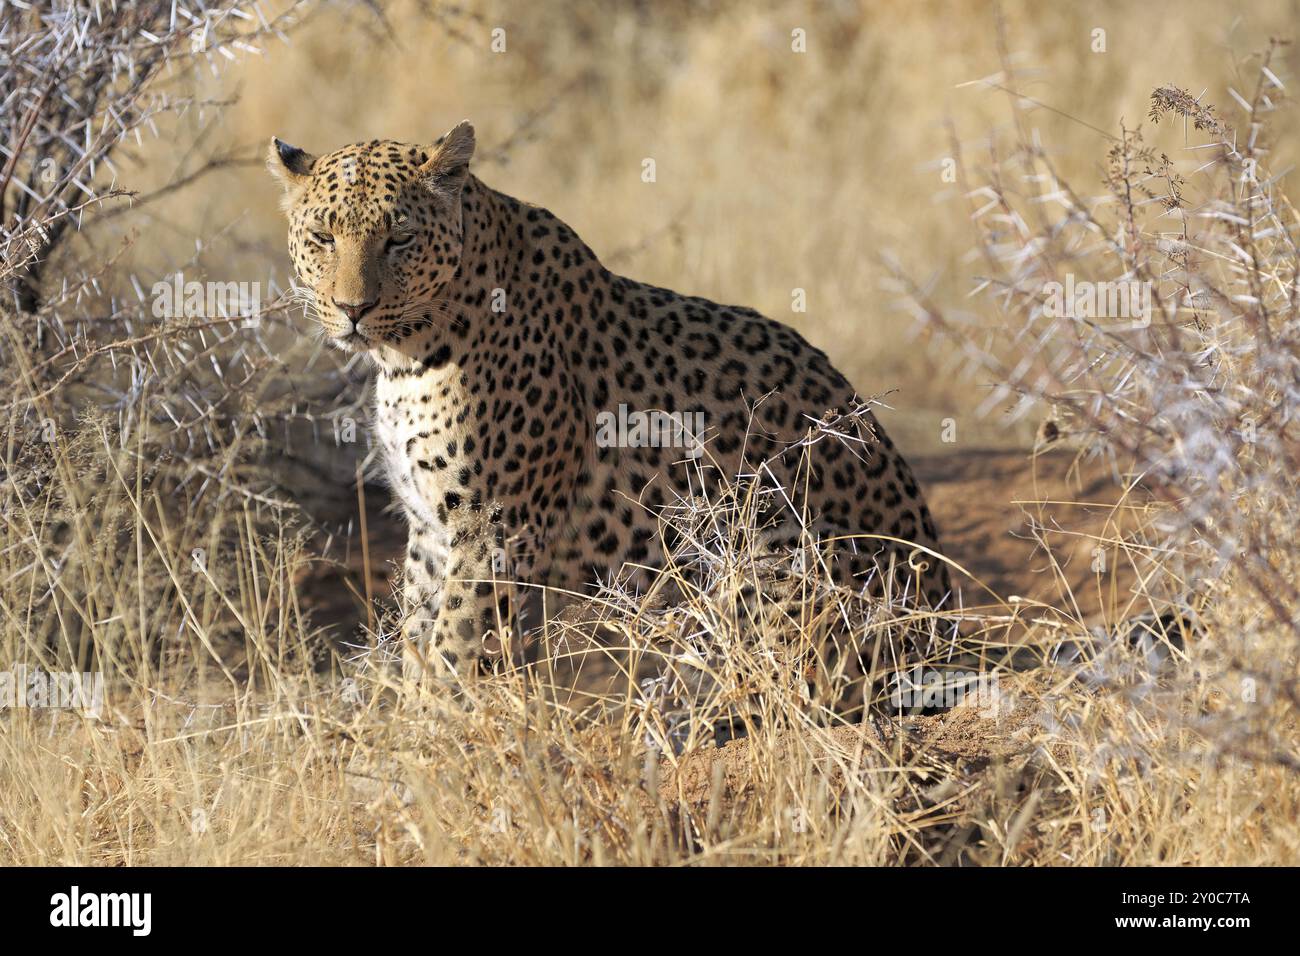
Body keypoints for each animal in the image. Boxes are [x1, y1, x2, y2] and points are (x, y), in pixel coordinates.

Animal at [268, 120, 952, 686]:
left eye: (401, 238)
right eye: (324, 236)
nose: (353, 309)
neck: (406, 359)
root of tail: (944, 630)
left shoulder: (495, 526)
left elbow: (456, 643)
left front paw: (445, 728)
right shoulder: (431, 529)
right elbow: (417, 636)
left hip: (760, 548)